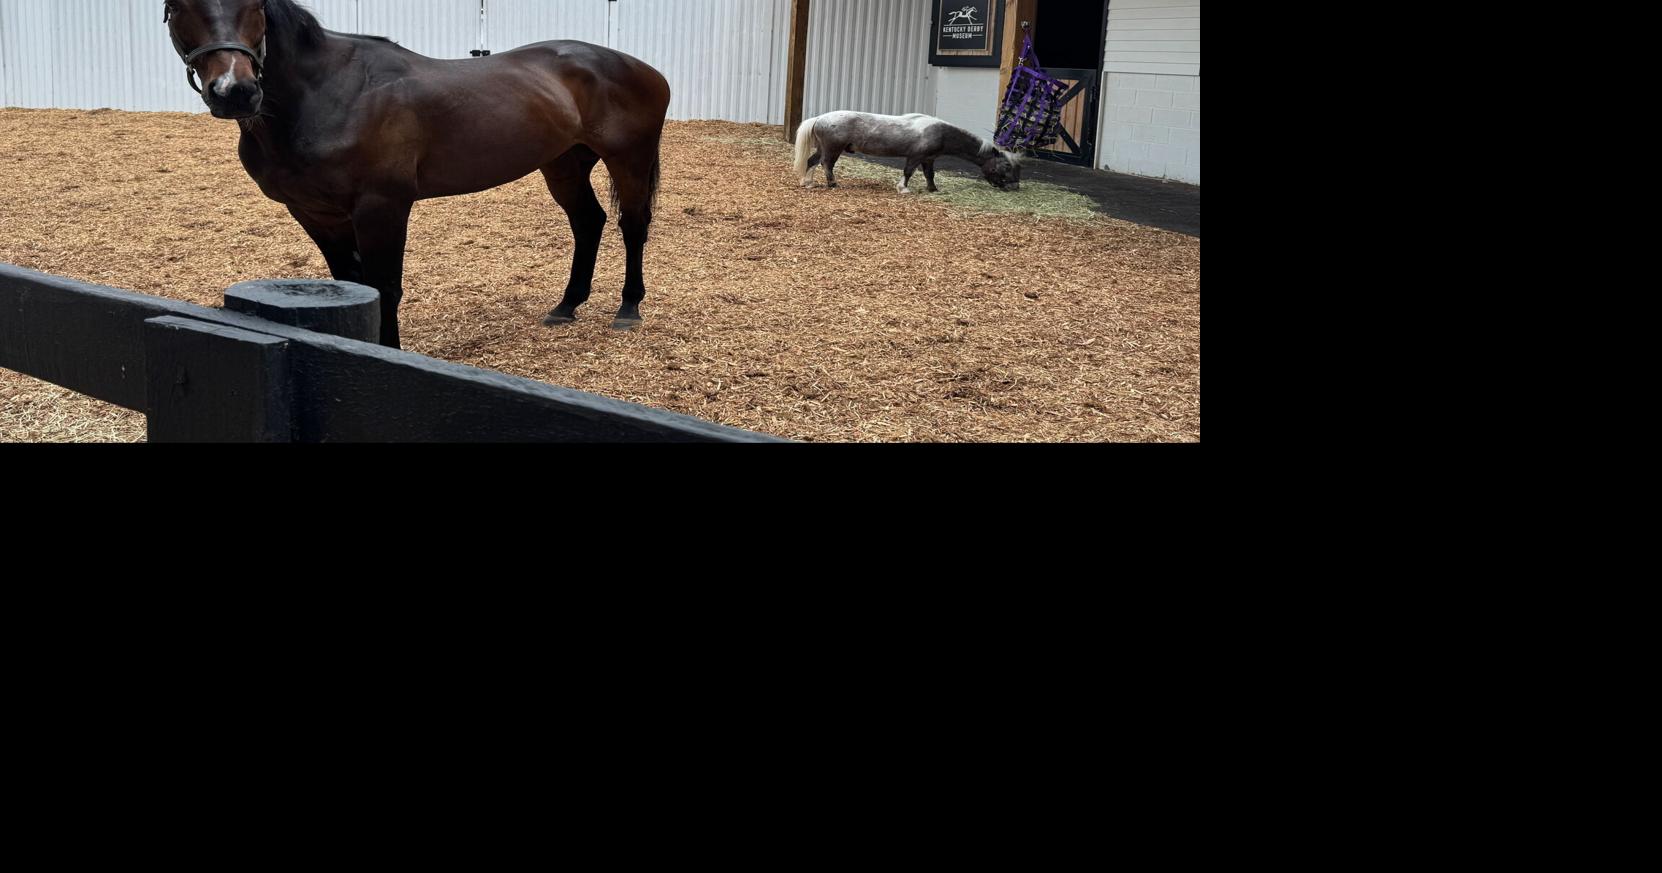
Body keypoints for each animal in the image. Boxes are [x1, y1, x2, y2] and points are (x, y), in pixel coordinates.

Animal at [163, 0, 671, 348]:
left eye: (255, 5)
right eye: (179, 6)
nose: (235, 91)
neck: (328, 92)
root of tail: (645, 69)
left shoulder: (382, 206)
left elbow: (384, 286)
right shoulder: (312, 212)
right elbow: (350, 282)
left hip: (629, 159)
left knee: (632, 225)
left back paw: (628, 308)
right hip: (564, 163)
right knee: (588, 223)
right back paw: (566, 306)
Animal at [791, 111, 1022, 195]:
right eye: (1006, 166)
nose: (1014, 187)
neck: (940, 132)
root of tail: (819, 118)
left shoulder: (929, 159)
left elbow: (930, 175)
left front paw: (933, 189)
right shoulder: (916, 157)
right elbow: (908, 172)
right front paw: (903, 188)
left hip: (823, 148)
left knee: (812, 162)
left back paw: (807, 182)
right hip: (833, 149)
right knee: (826, 164)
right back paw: (832, 183)